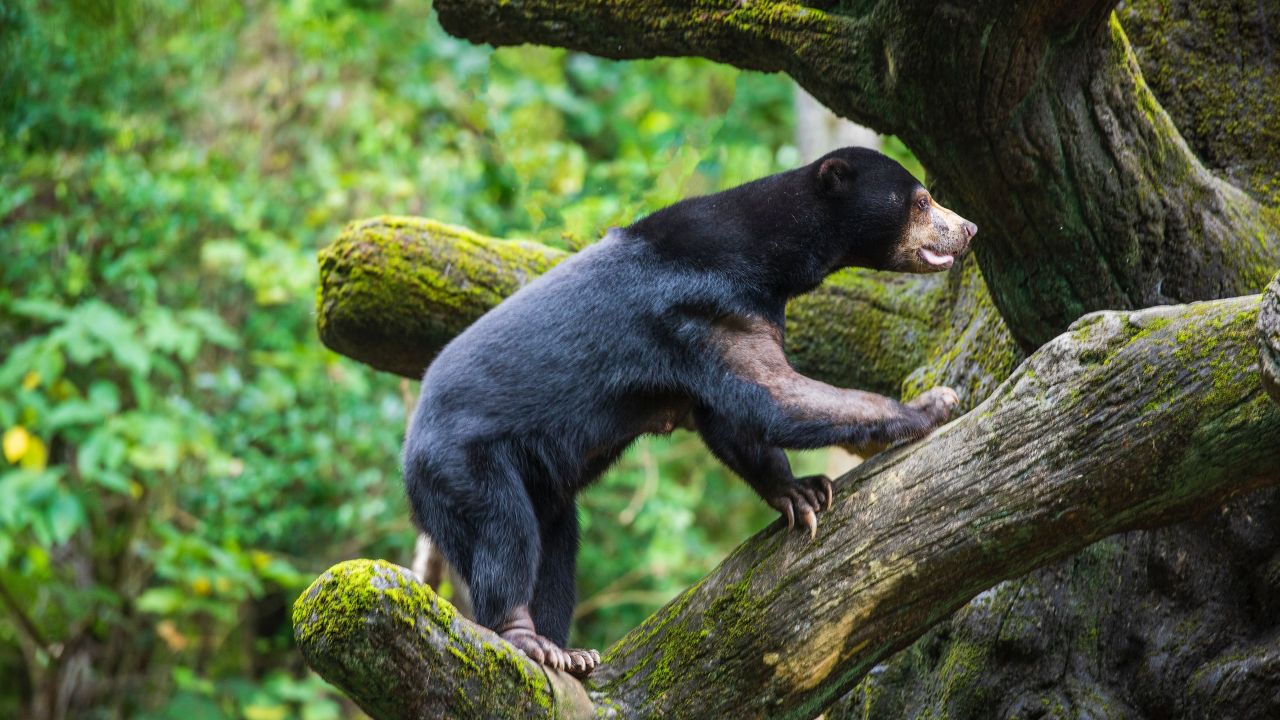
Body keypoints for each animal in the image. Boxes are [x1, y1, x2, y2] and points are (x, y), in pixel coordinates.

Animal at [402, 147, 977, 675]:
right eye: (922, 201)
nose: (969, 228)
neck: (770, 256)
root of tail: (409, 453)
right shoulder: (702, 307)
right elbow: (771, 395)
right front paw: (934, 403)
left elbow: (729, 422)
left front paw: (802, 494)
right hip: (466, 464)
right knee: (505, 531)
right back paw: (529, 640)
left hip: (540, 481)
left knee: (555, 549)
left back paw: (571, 652)